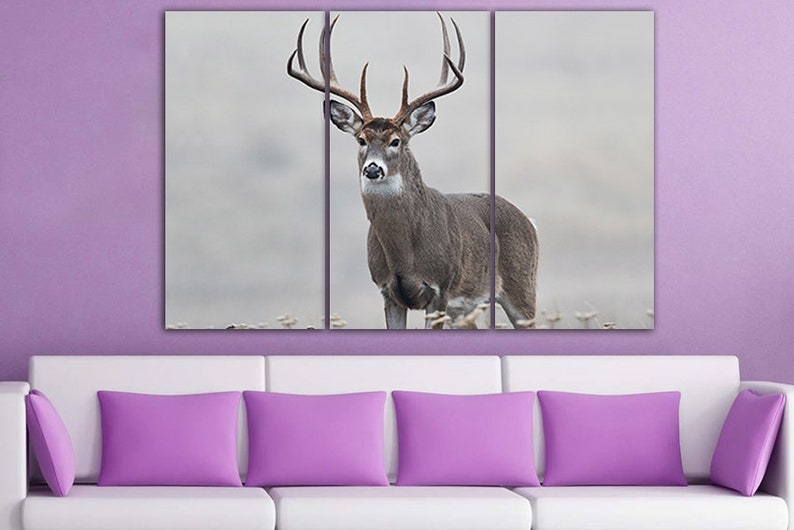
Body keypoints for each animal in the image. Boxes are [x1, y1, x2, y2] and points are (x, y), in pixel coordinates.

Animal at [287, 14, 538, 329]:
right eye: (361, 140)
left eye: (396, 141)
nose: (373, 169)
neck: (404, 255)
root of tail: (529, 222)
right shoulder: (387, 292)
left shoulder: (440, 289)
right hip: (466, 309)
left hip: (522, 288)